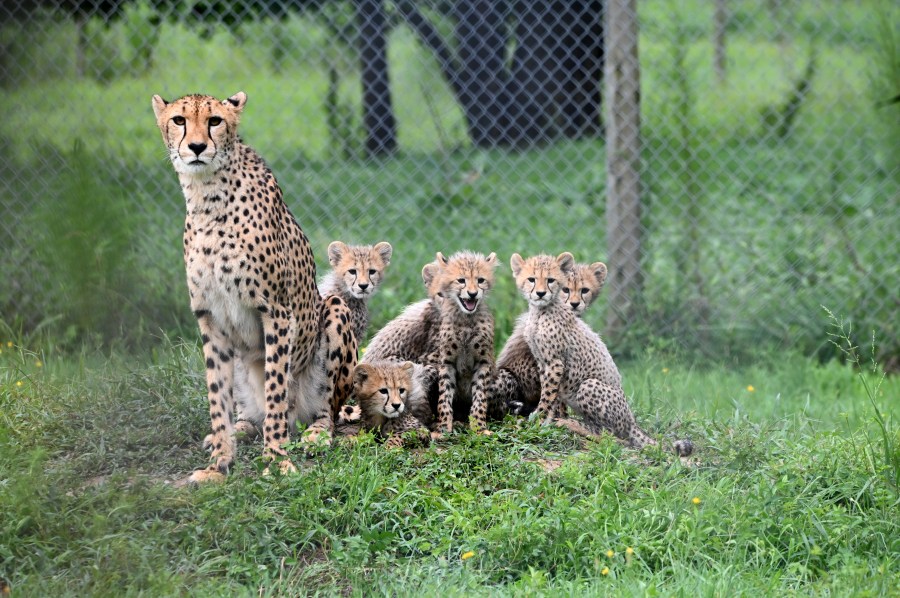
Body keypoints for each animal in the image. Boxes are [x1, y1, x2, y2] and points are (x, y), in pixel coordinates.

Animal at [152, 91, 354, 483]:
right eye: (179, 120)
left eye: (215, 120)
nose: (197, 147)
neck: (206, 196)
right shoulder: (210, 318)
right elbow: (217, 396)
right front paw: (219, 462)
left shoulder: (276, 312)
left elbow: (276, 389)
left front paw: (276, 459)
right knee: (246, 411)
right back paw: (239, 429)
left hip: (335, 312)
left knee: (326, 410)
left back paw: (313, 434)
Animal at [510, 252, 692, 456]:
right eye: (531, 279)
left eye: (550, 280)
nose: (540, 293)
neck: (540, 311)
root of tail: (631, 421)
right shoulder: (544, 363)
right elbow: (553, 397)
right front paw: (547, 418)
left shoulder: (555, 362)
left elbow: (548, 395)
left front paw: (539, 419)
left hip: (589, 386)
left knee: (610, 435)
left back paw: (573, 425)